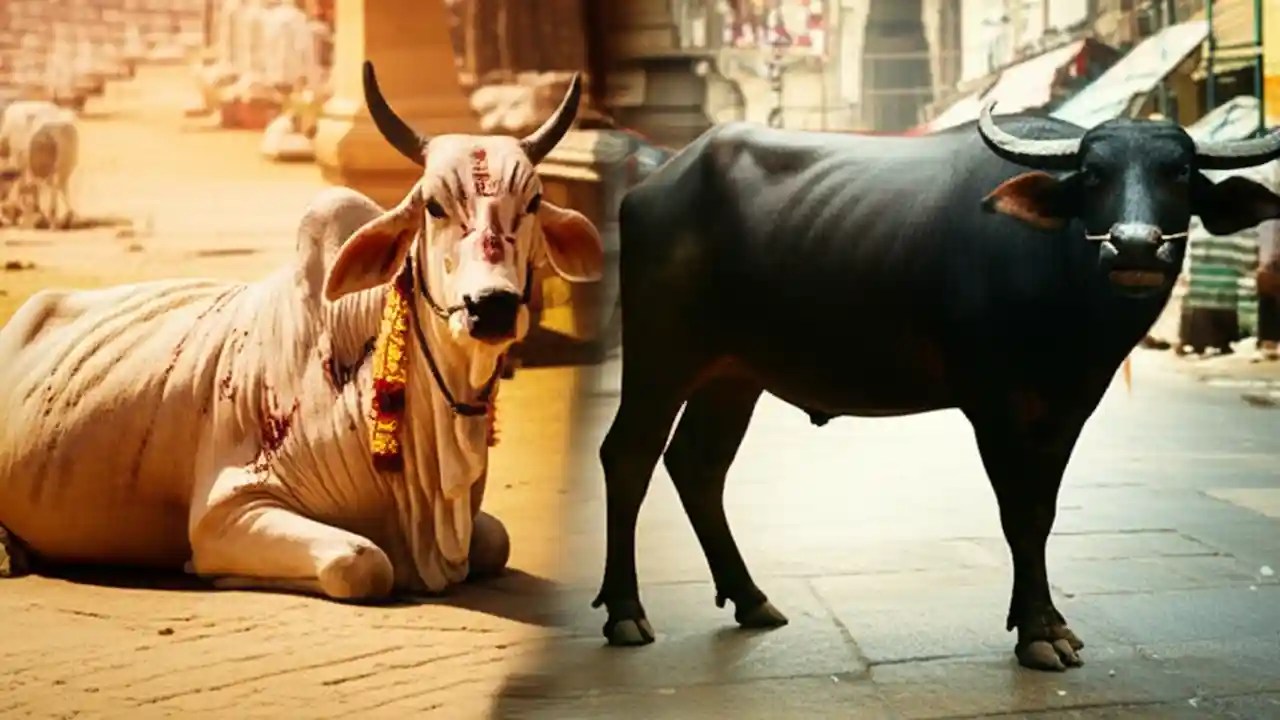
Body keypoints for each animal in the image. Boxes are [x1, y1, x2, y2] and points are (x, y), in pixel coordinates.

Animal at [0, 61, 604, 601]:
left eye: (532, 201)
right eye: (433, 206)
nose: (491, 307)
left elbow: (497, 541)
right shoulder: (229, 508)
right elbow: (361, 563)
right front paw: (220, 574)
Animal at [592, 104, 1280, 671]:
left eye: (1180, 171)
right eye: (1092, 174)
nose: (1135, 247)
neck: (1061, 285)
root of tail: (654, 186)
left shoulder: (1069, 406)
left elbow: (1044, 511)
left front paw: (1044, 620)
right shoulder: (993, 404)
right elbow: (1018, 513)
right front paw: (1038, 634)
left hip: (733, 375)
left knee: (698, 466)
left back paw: (751, 598)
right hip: (660, 355)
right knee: (628, 456)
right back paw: (625, 612)